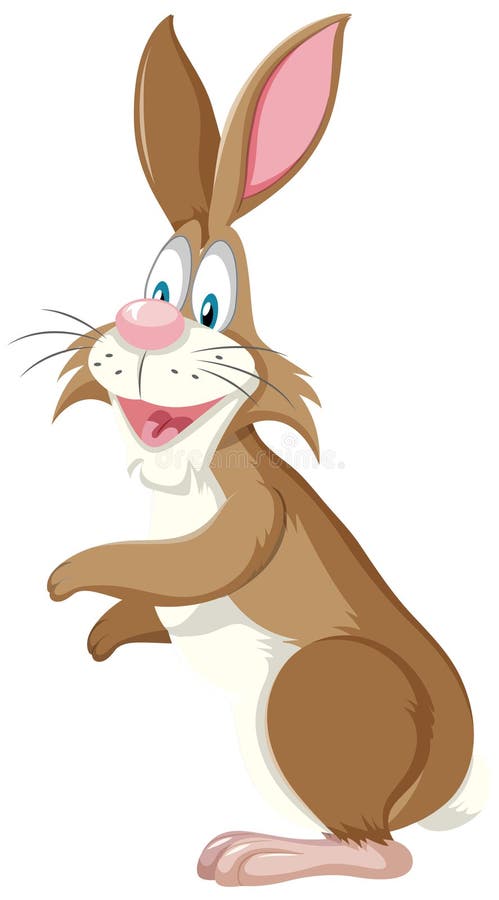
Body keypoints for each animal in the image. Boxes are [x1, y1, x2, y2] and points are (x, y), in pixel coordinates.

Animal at [16, 12, 484, 886]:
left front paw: (70, 576)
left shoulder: (253, 515)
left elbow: (187, 564)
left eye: (208, 305)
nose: (143, 324)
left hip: (318, 687)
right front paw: (105, 631)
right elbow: (159, 589)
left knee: (385, 853)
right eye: (157, 286)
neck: (181, 469)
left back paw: (255, 854)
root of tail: (446, 792)